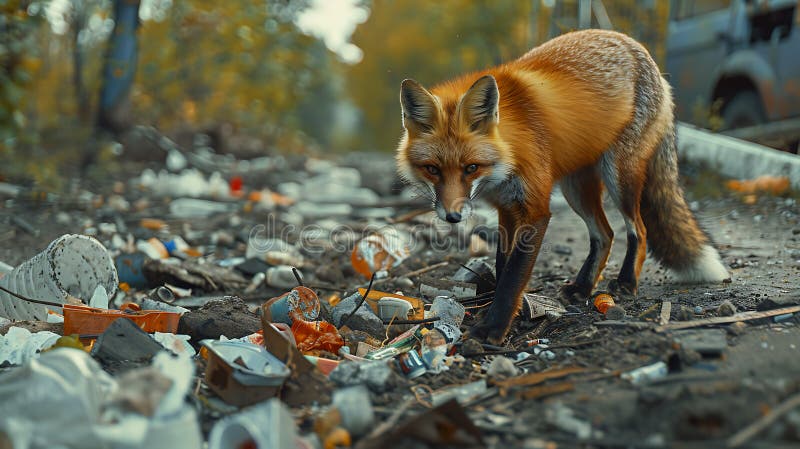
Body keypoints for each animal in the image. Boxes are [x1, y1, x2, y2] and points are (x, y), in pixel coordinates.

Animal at [395, 30, 730, 344]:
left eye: (471, 168)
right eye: (433, 169)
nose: (453, 217)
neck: (511, 149)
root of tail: (641, 52)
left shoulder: (535, 210)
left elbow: (514, 276)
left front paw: (495, 327)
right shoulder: (507, 206)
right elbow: (503, 265)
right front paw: (505, 311)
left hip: (619, 177)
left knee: (639, 229)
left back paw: (625, 282)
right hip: (575, 188)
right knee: (605, 235)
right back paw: (582, 287)